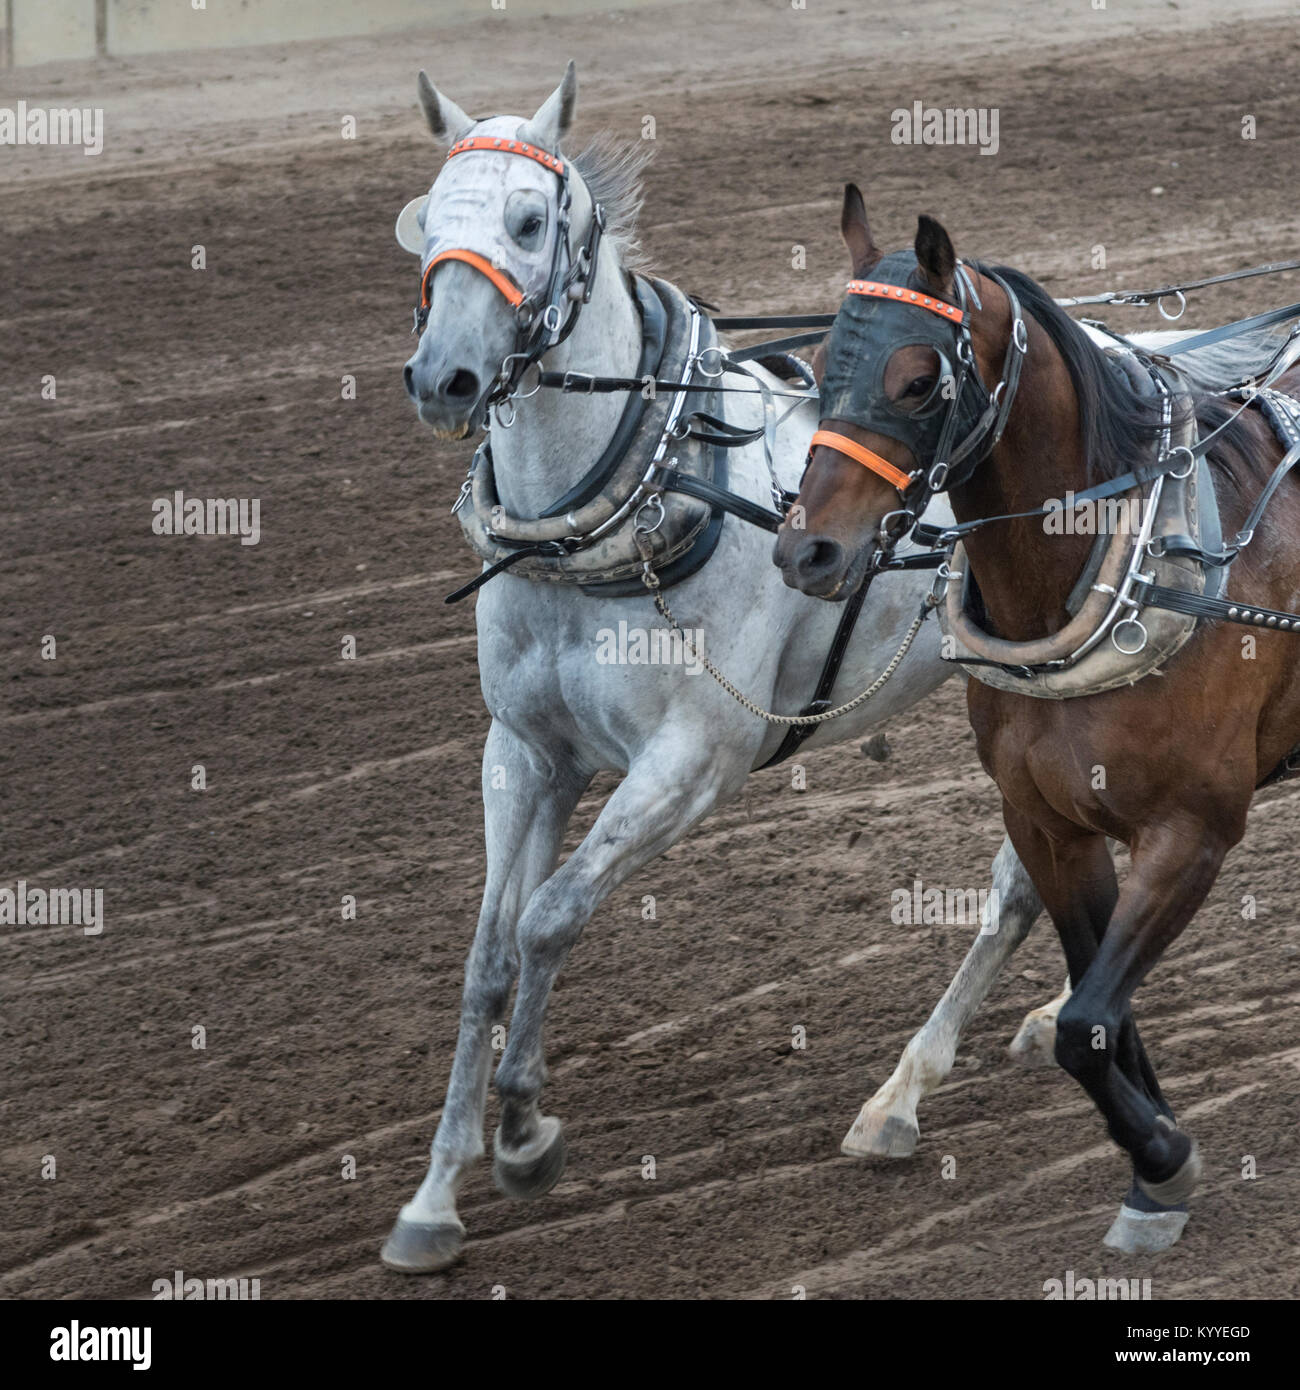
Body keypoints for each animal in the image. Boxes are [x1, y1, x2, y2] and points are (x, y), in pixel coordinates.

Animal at [382, 65, 1070, 1274]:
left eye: (528, 221)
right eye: (429, 222)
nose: (444, 377)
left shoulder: (692, 761)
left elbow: (548, 918)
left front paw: (526, 1133)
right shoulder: (525, 752)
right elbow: (487, 956)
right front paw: (434, 1197)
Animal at [775, 183, 1300, 1252]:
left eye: (918, 379)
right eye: (821, 365)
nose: (806, 551)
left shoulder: (1191, 830)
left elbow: (1085, 1024)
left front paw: (1163, 1163)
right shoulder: (1052, 825)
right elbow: (1098, 1018)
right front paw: (1156, 1162)